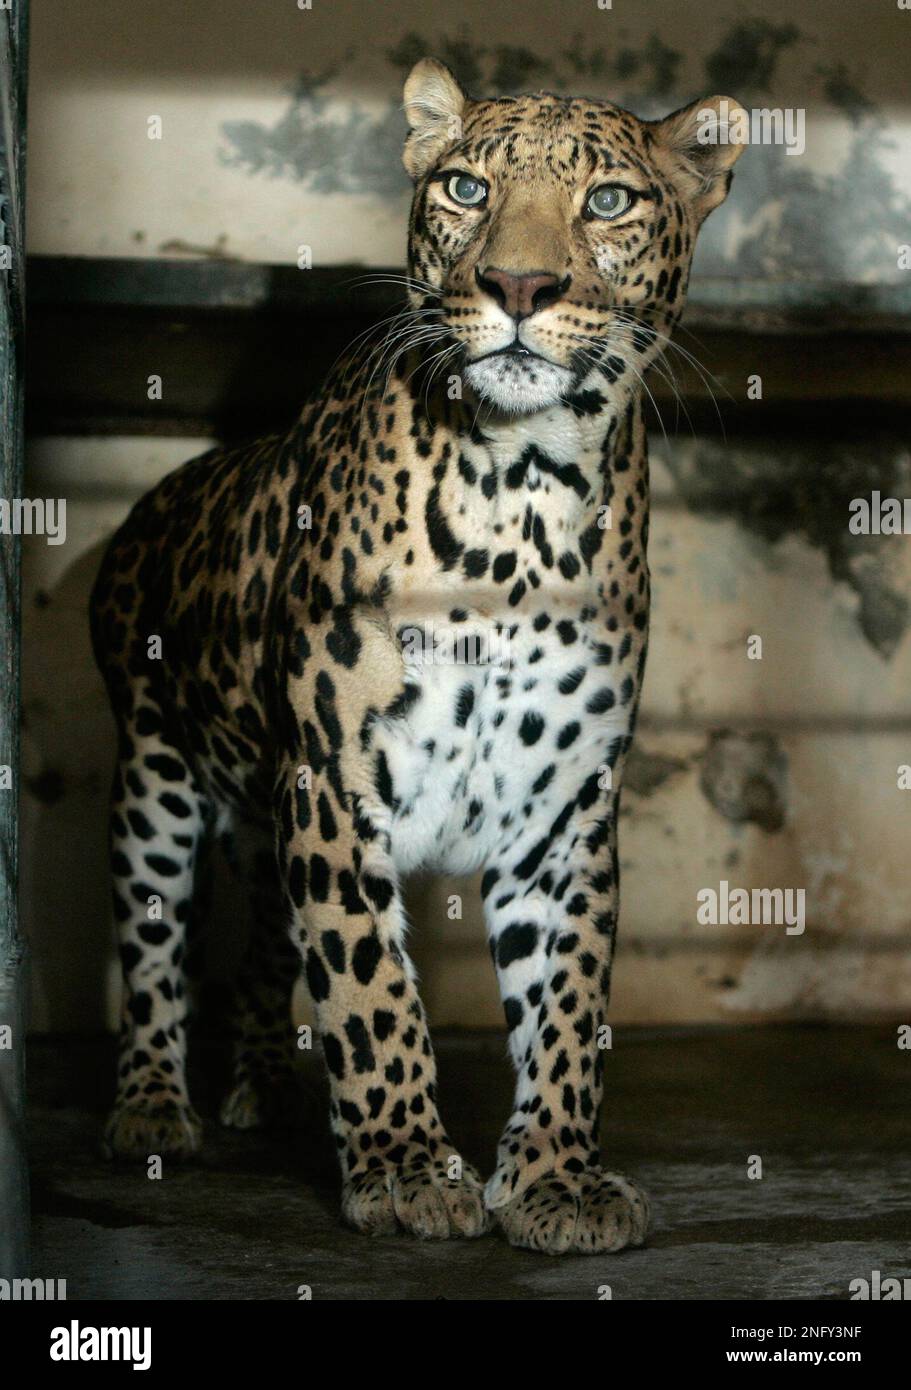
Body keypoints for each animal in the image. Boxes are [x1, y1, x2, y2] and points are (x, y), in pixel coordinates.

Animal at [90, 58, 746, 1254]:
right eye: (464, 187)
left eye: (607, 202)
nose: (518, 284)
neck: (522, 502)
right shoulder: (336, 779)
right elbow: (368, 989)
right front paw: (403, 1169)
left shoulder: (564, 805)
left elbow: (568, 1005)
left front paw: (556, 1178)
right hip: (152, 782)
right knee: (154, 955)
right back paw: (155, 1108)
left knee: (264, 950)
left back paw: (265, 1086)